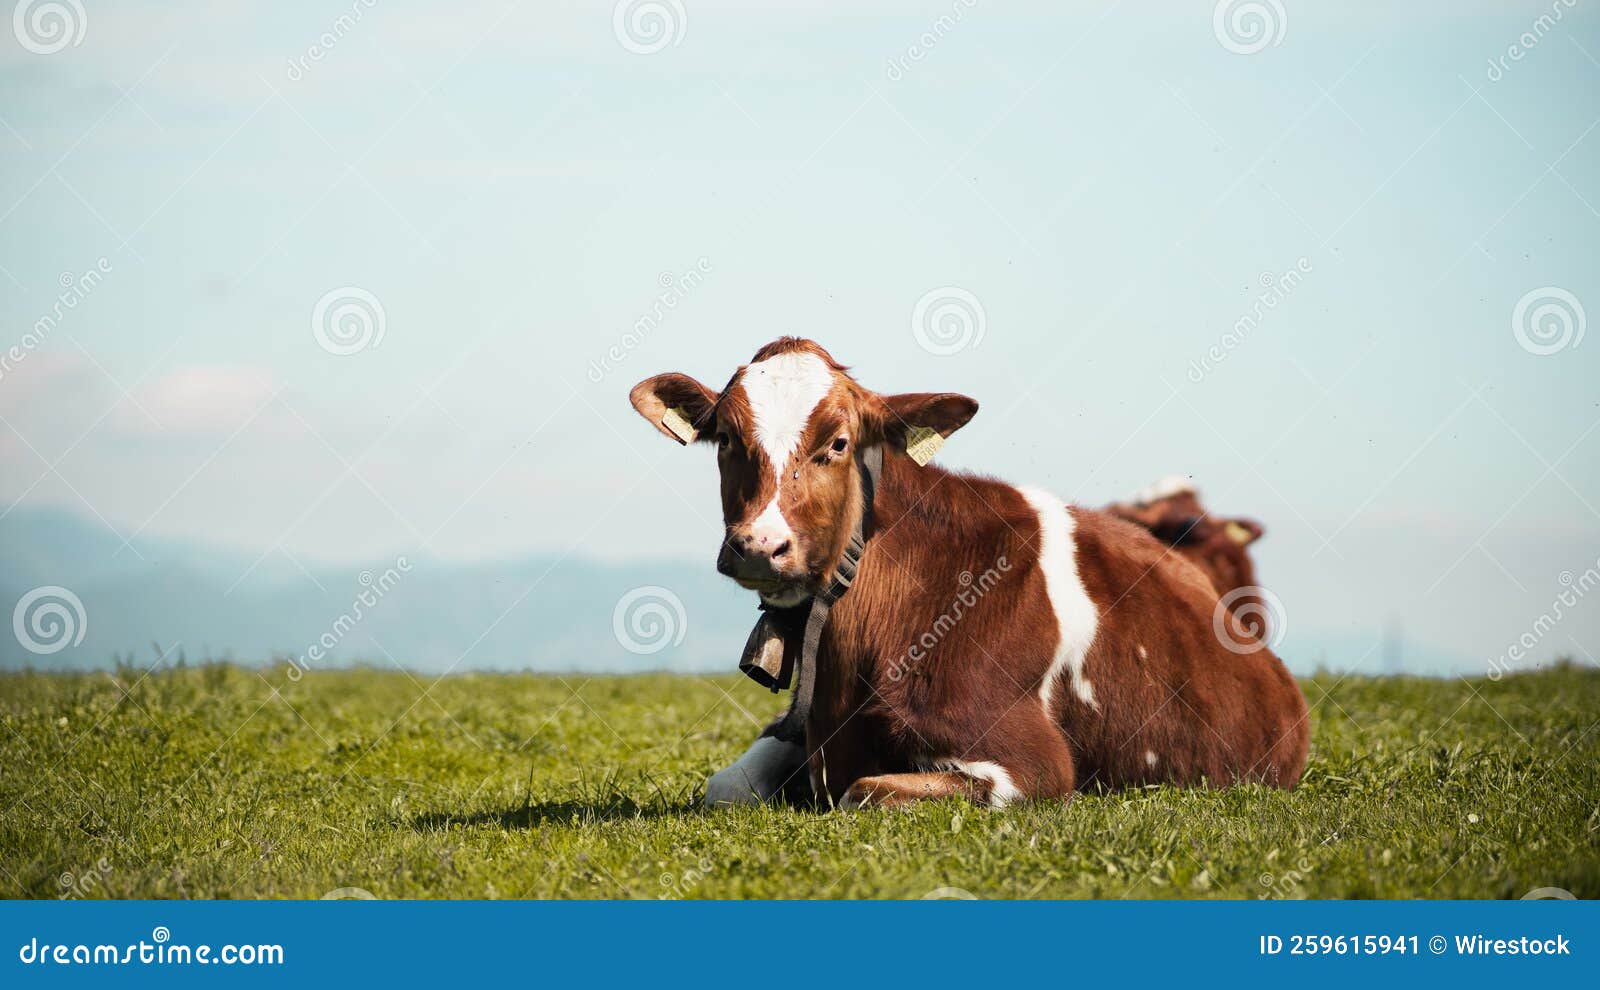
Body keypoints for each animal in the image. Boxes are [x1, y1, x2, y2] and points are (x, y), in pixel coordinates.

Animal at [630, 338, 1308, 810]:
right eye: (725, 439)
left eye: (838, 442)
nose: (760, 547)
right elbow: (726, 787)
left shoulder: (1032, 763)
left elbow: (864, 790)